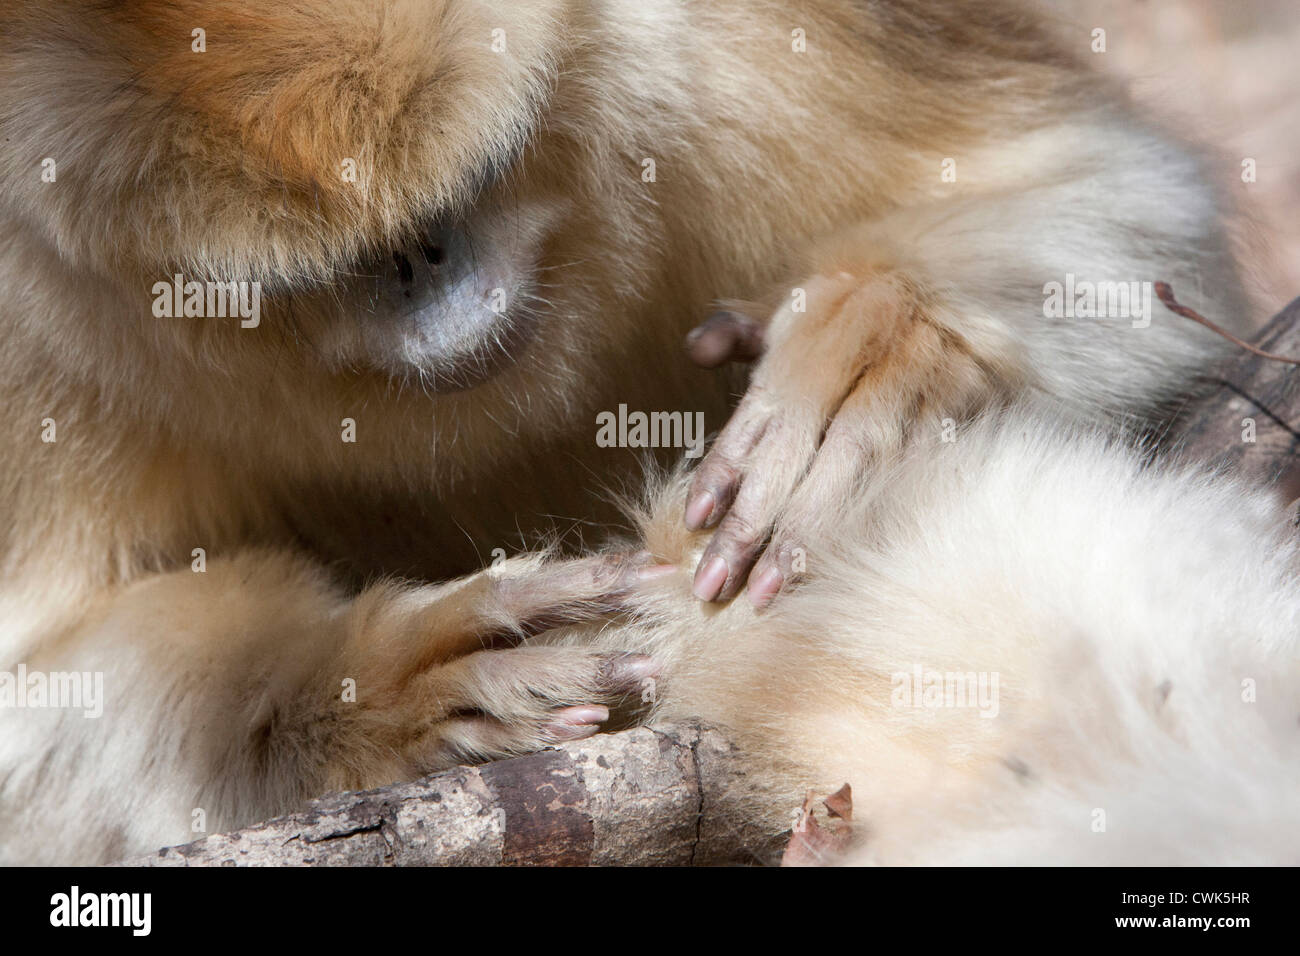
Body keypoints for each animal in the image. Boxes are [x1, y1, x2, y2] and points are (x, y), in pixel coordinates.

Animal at [0, 0, 1287, 865]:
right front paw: (372, 682)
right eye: (352, 267)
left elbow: (1111, 198)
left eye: (470, 194)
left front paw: (881, 354)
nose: (429, 264)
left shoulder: (720, 34)